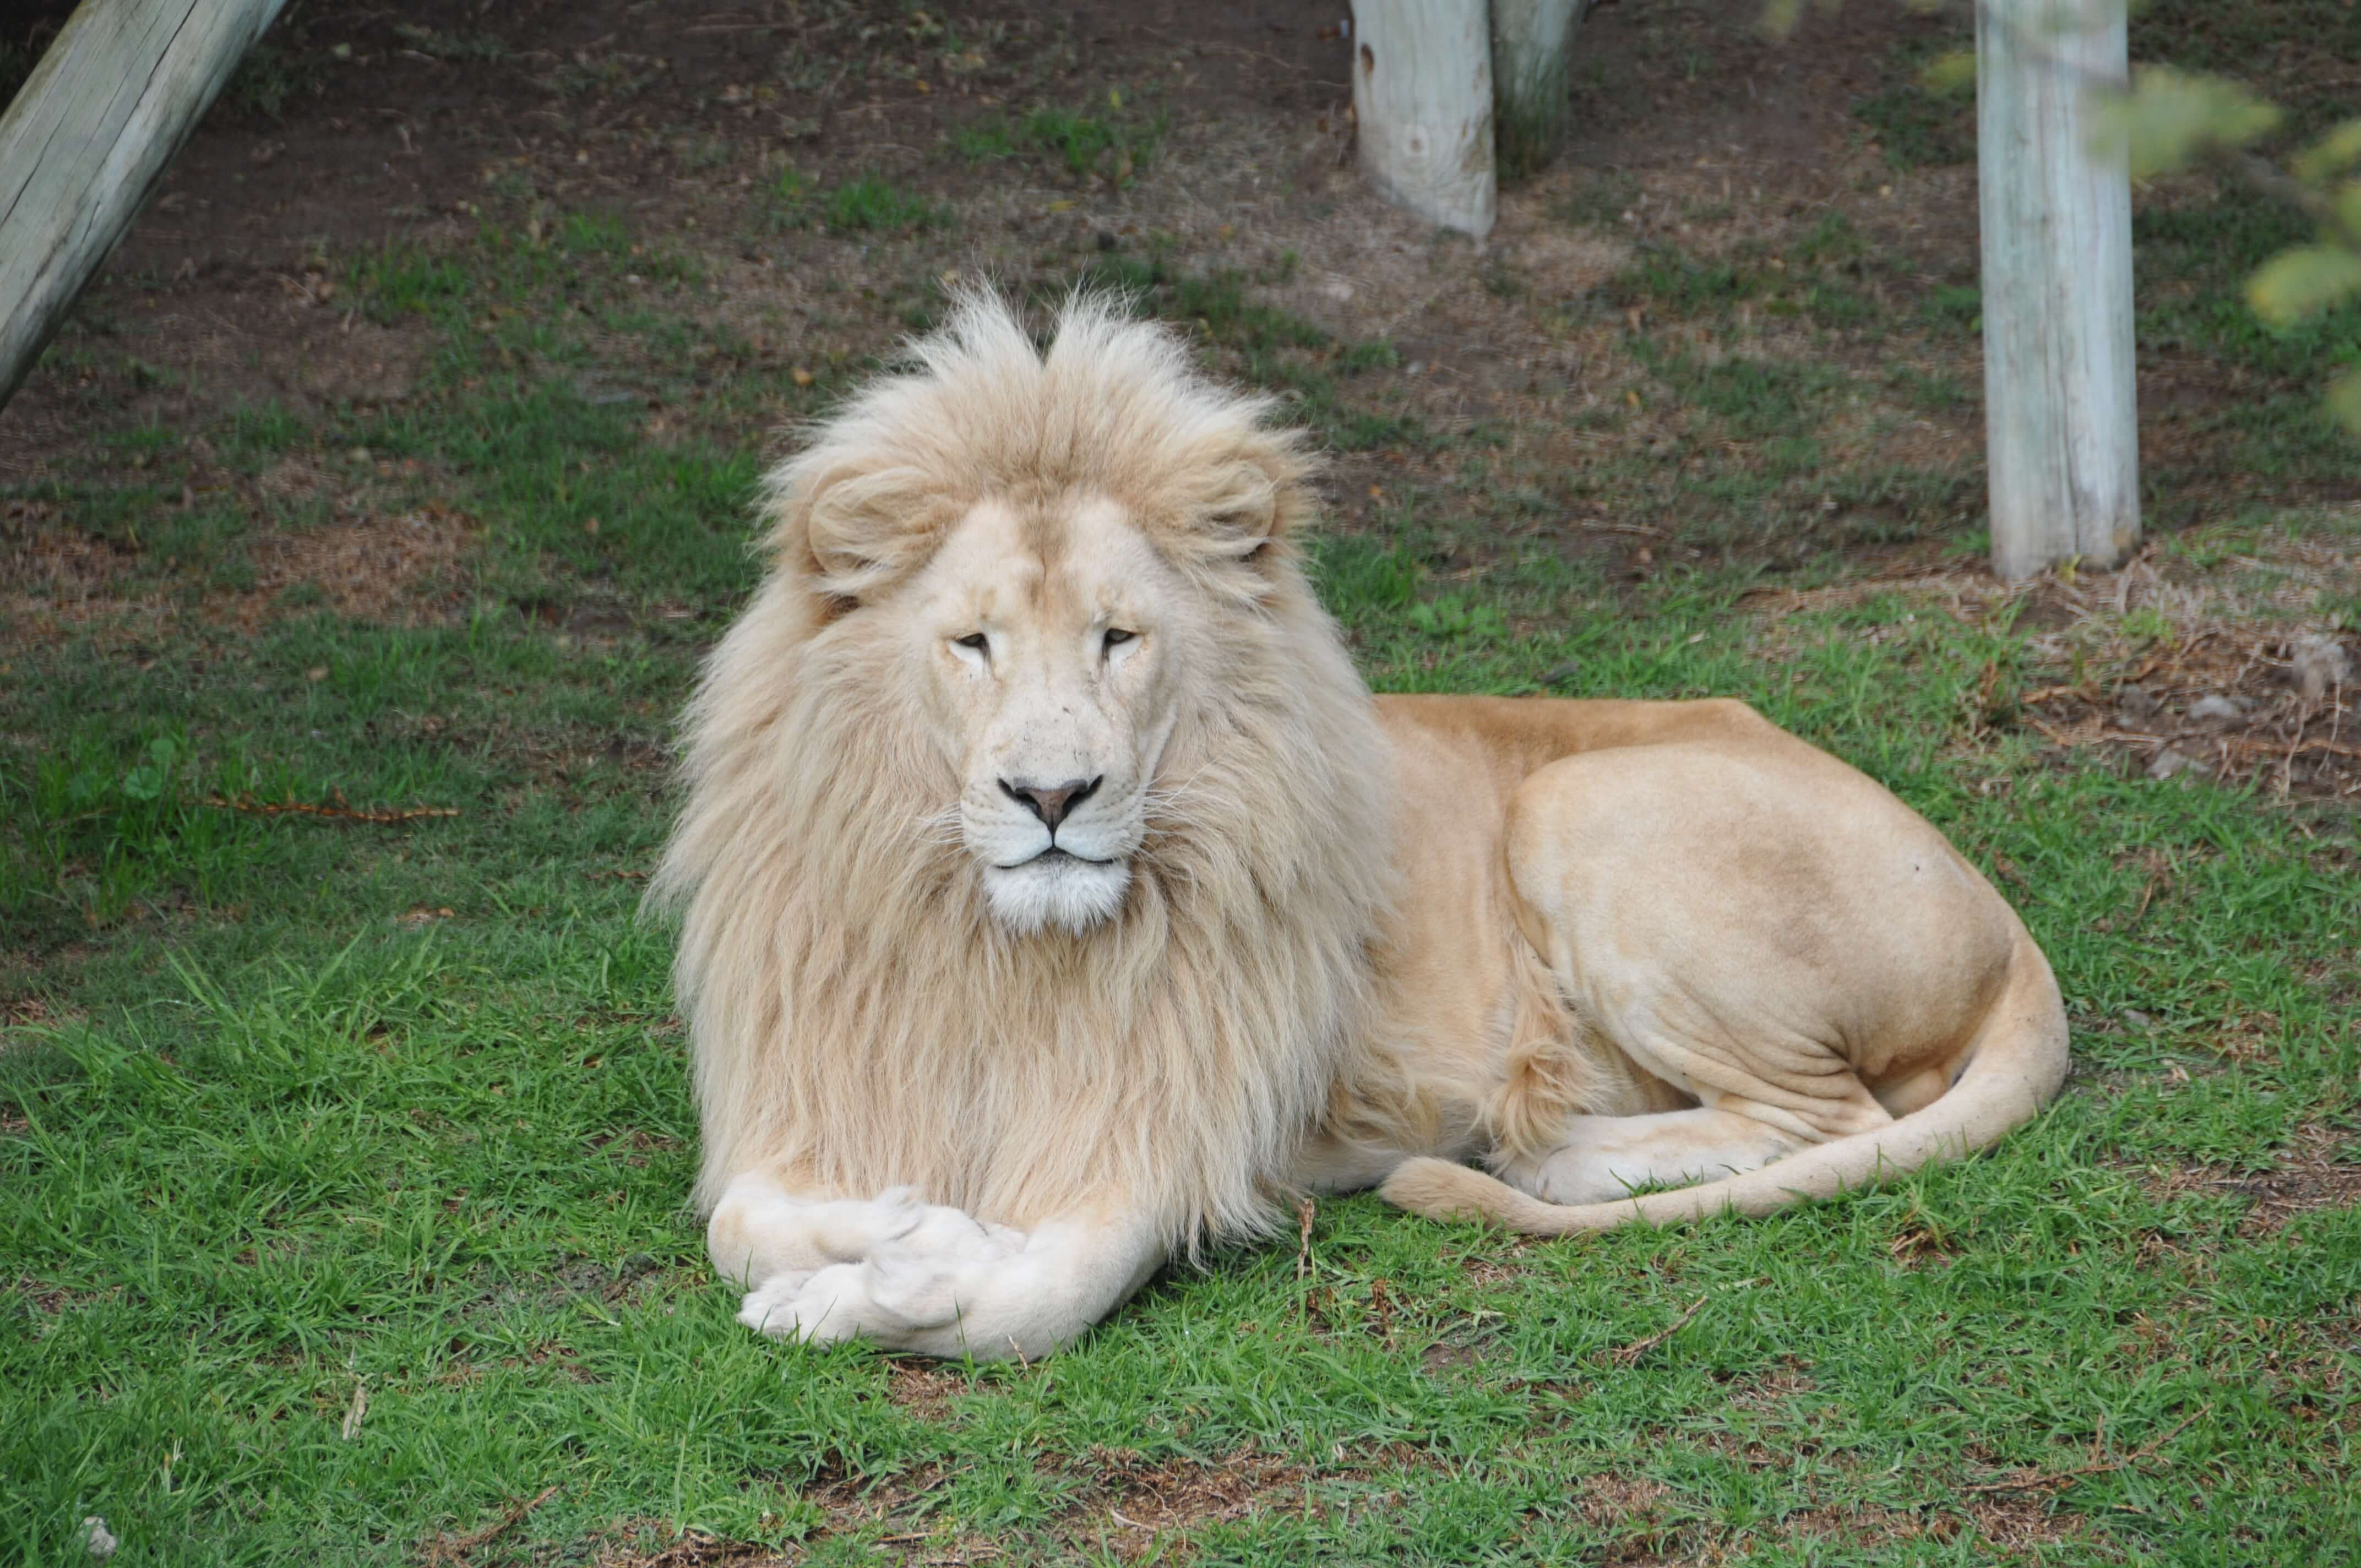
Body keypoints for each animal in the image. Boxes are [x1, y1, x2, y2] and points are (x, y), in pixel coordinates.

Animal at [650, 291, 2069, 1361]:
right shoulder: (804, 1093)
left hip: (1576, 805)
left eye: (1118, 638)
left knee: (1831, 1120)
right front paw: (884, 1233)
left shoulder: (1179, 1129)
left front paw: (893, 1270)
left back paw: (1539, 1153)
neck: (995, 947)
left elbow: (1032, 1298)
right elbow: (741, 1220)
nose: (1053, 798)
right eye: (972, 644)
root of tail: (2008, 924)